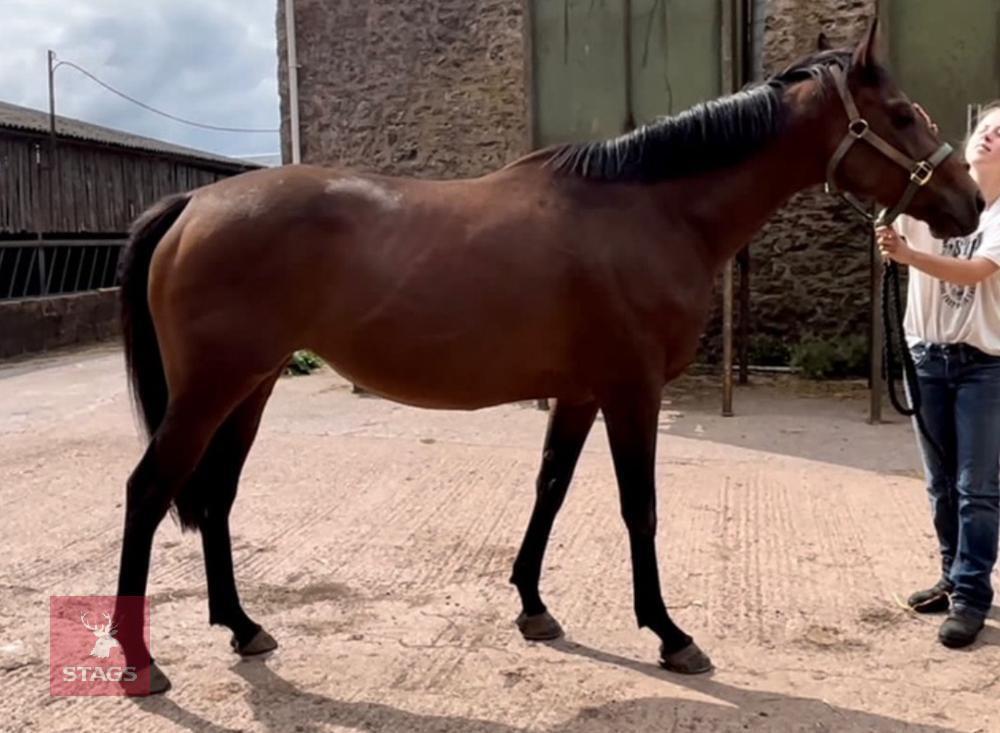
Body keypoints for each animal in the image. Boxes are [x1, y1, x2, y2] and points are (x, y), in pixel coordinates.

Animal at [111, 19, 983, 694]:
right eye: (900, 114)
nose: (970, 202)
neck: (654, 210)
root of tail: (194, 202)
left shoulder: (581, 391)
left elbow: (551, 487)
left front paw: (532, 606)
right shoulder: (631, 389)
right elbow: (639, 507)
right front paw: (670, 633)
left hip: (251, 385)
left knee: (216, 496)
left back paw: (243, 625)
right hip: (210, 390)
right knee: (149, 490)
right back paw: (140, 660)